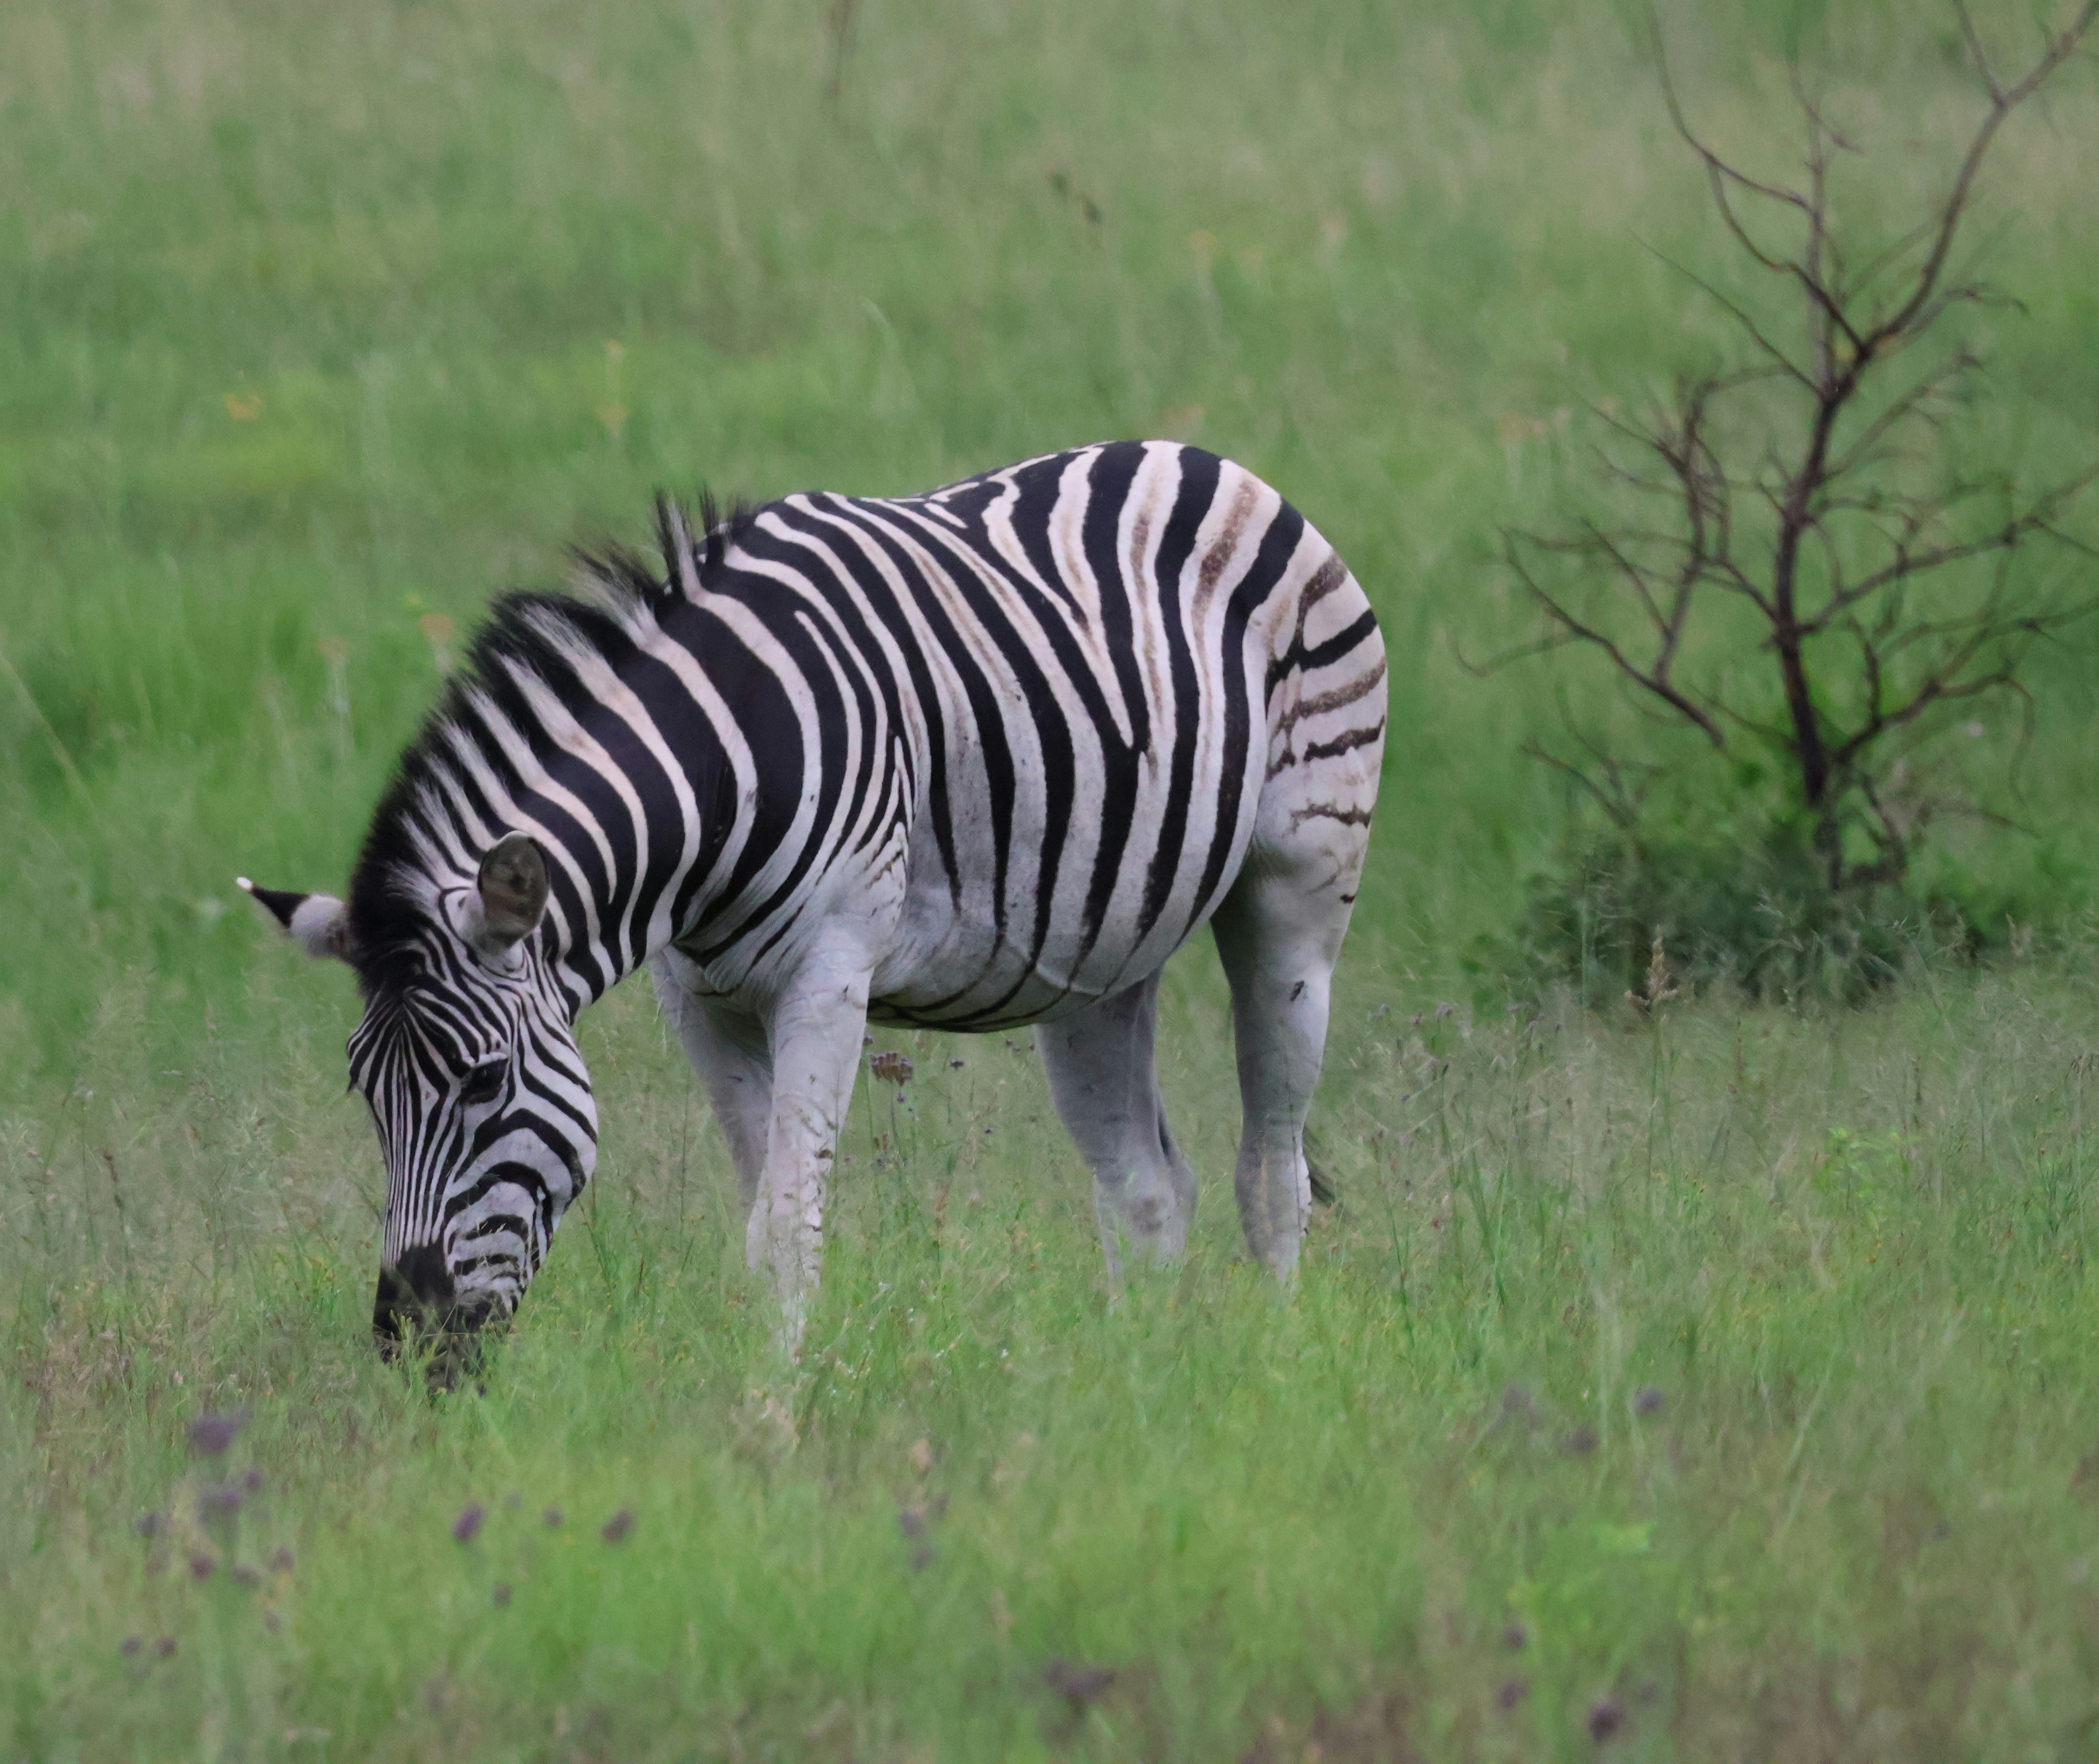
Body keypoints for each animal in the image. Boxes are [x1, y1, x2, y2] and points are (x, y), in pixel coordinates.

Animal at [242, 441, 1386, 1357]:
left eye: (481, 1082)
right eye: (366, 1092)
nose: (410, 1342)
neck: (715, 773)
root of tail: (1194, 457)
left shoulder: (828, 976)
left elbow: (785, 1229)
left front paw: (772, 1431)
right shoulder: (699, 999)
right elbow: (761, 1215)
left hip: (1295, 895)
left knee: (1270, 1170)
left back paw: (1268, 1370)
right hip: (1098, 962)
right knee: (1146, 1190)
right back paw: (1130, 1388)